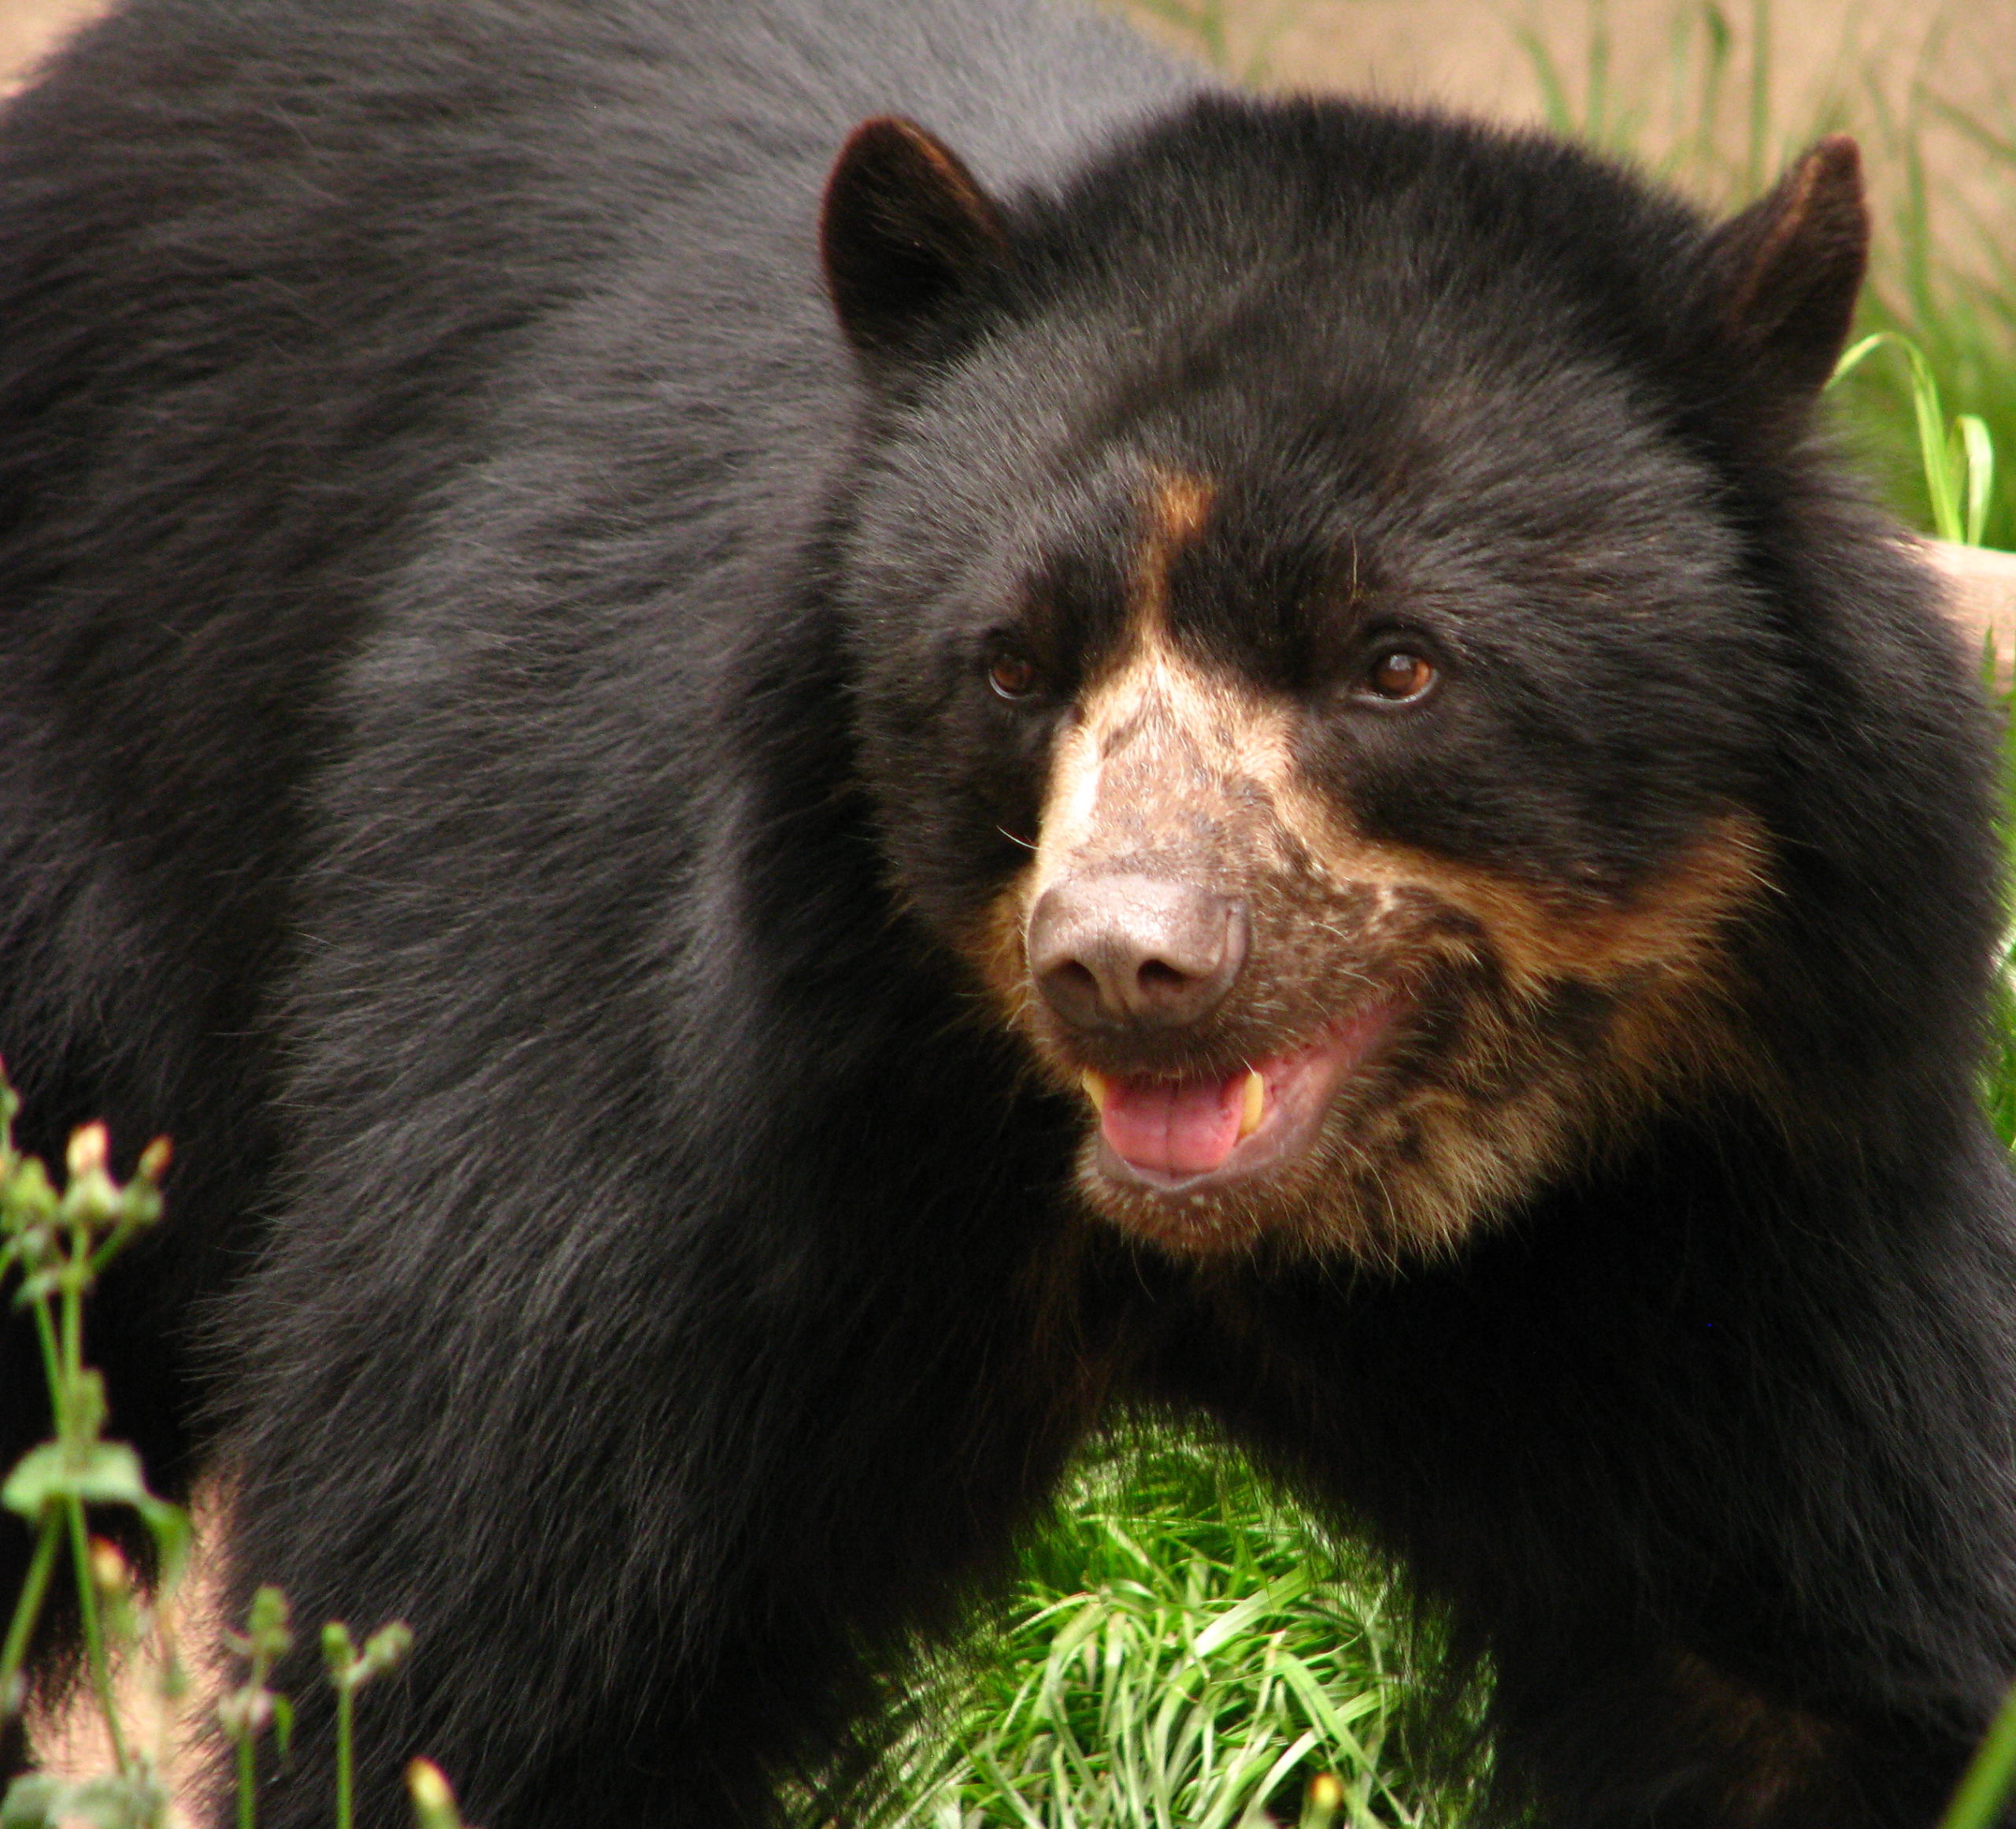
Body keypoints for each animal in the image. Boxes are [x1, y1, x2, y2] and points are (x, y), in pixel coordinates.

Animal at [2, 0, 2013, 1823]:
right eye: (1013, 665)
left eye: (1392, 663)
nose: (1121, 962)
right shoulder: (650, 1077)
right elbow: (485, 1649)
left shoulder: (1730, 1174)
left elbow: (1835, 1652)